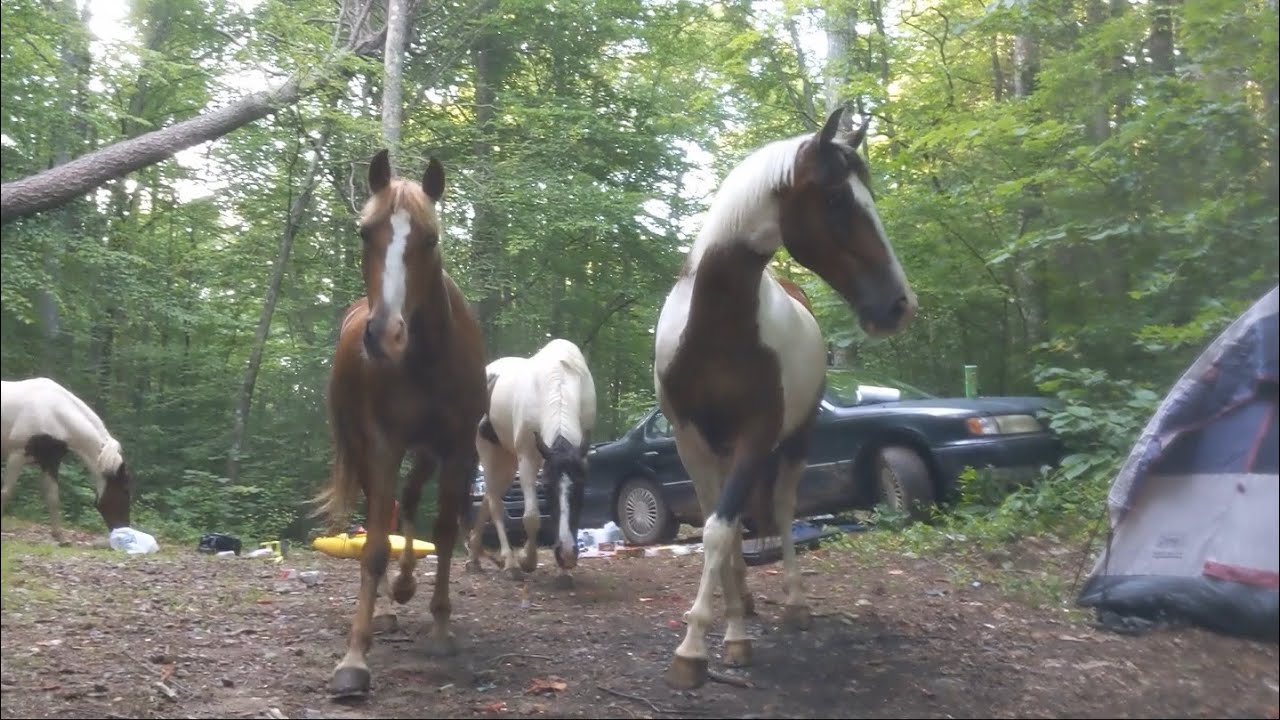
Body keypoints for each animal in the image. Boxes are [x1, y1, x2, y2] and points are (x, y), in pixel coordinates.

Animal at [1, 376, 132, 543]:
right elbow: (6, 492)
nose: (124, 528)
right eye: (125, 490)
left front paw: (60, 537)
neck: (52, 412)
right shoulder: (17, 455)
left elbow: (53, 498)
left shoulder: (50, 462)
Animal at [312, 149, 490, 699]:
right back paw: (395, 593)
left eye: (430, 239)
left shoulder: (456, 450)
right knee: (392, 512)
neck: (425, 359)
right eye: (364, 232)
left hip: (429, 452)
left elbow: (446, 532)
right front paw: (354, 658)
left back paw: (409, 584)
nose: (384, 335)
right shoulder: (383, 445)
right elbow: (372, 549)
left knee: (410, 503)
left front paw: (440, 627)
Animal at [465, 338, 597, 589]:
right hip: (490, 452)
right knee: (495, 503)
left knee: (489, 497)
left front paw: (563, 572)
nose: (567, 553)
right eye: (546, 485)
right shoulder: (527, 458)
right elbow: (532, 516)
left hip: (507, 460)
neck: (560, 379)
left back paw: (475, 555)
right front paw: (526, 560)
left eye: (582, 485)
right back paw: (509, 562)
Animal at [652, 106, 917, 689]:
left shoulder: (758, 433)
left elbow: (721, 529)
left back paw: (793, 604)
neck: (716, 329)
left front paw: (699, 645)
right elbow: (718, 529)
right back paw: (745, 605)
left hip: (795, 440)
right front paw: (723, 630)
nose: (900, 306)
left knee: (781, 506)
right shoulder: (688, 439)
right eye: (837, 199)